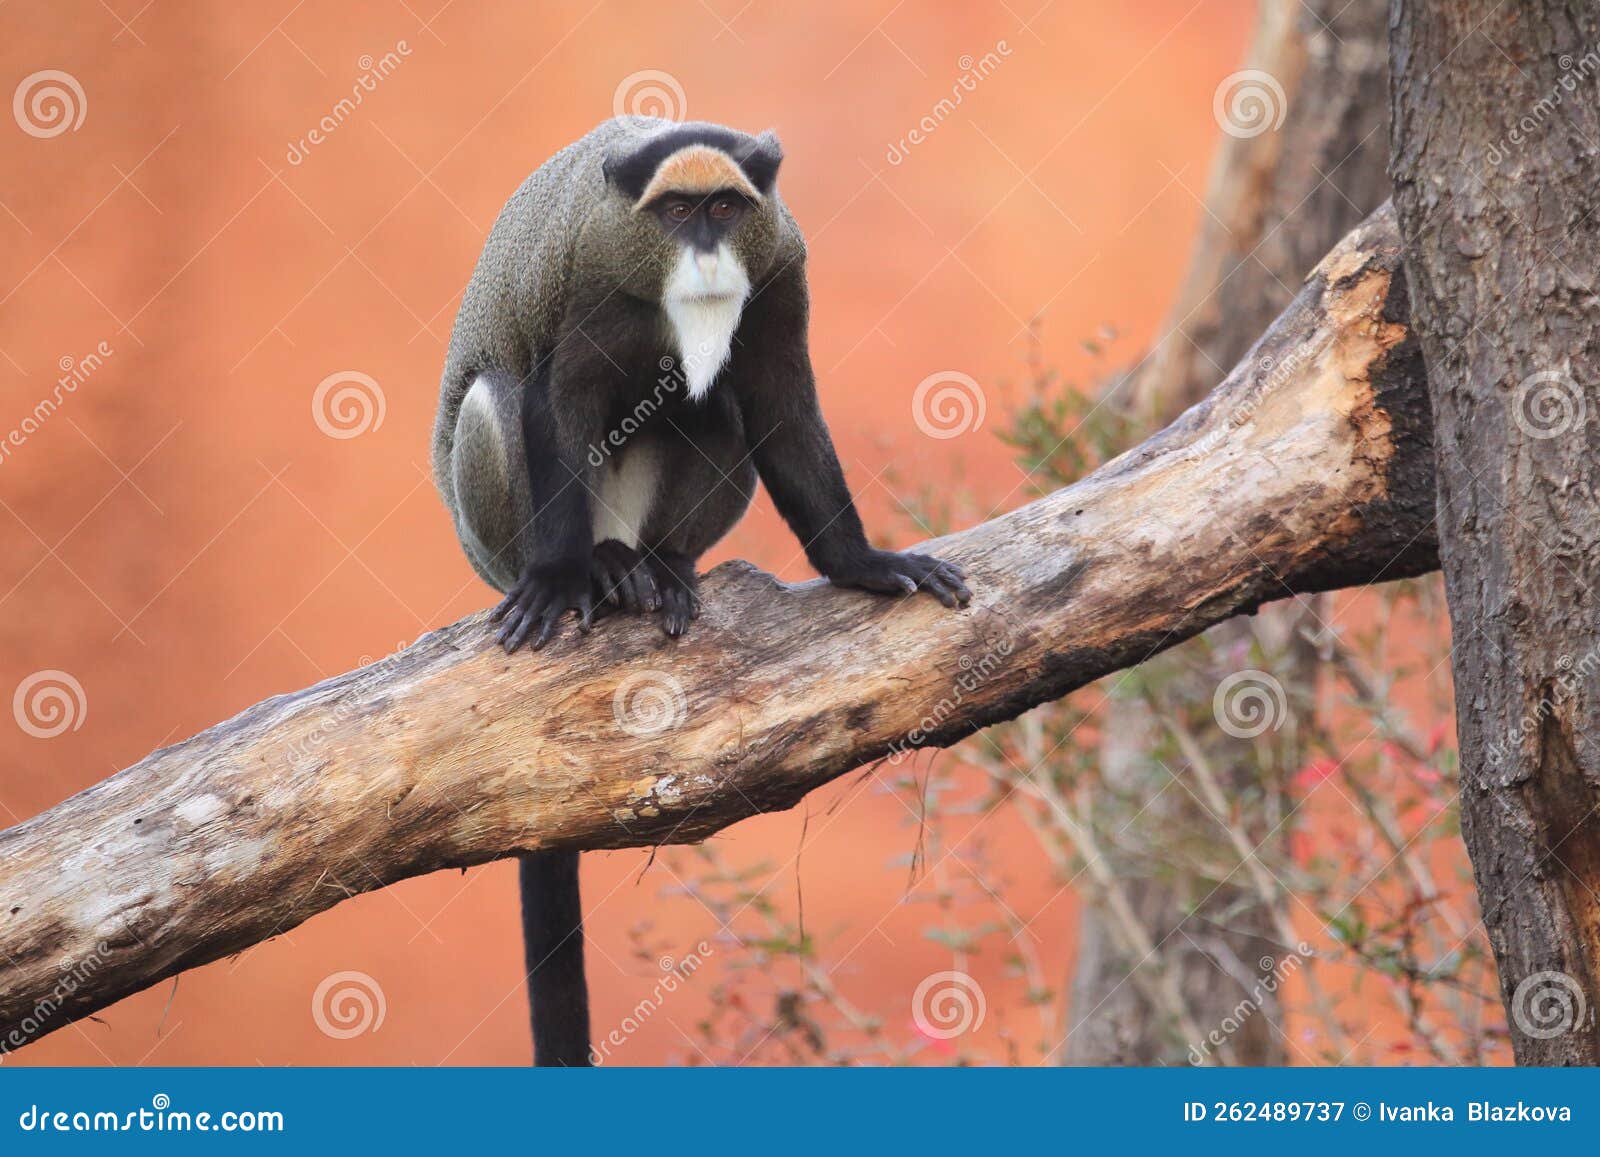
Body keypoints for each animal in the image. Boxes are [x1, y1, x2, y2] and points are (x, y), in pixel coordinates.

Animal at [431, 117, 972, 1066]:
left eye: (724, 208)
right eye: (677, 214)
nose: (711, 251)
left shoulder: (782, 265)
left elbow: (777, 396)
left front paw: (861, 559)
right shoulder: (587, 277)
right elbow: (554, 399)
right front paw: (561, 580)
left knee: (714, 401)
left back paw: (657, 564)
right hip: (493, 536)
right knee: (500, 398)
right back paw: (601, 568)